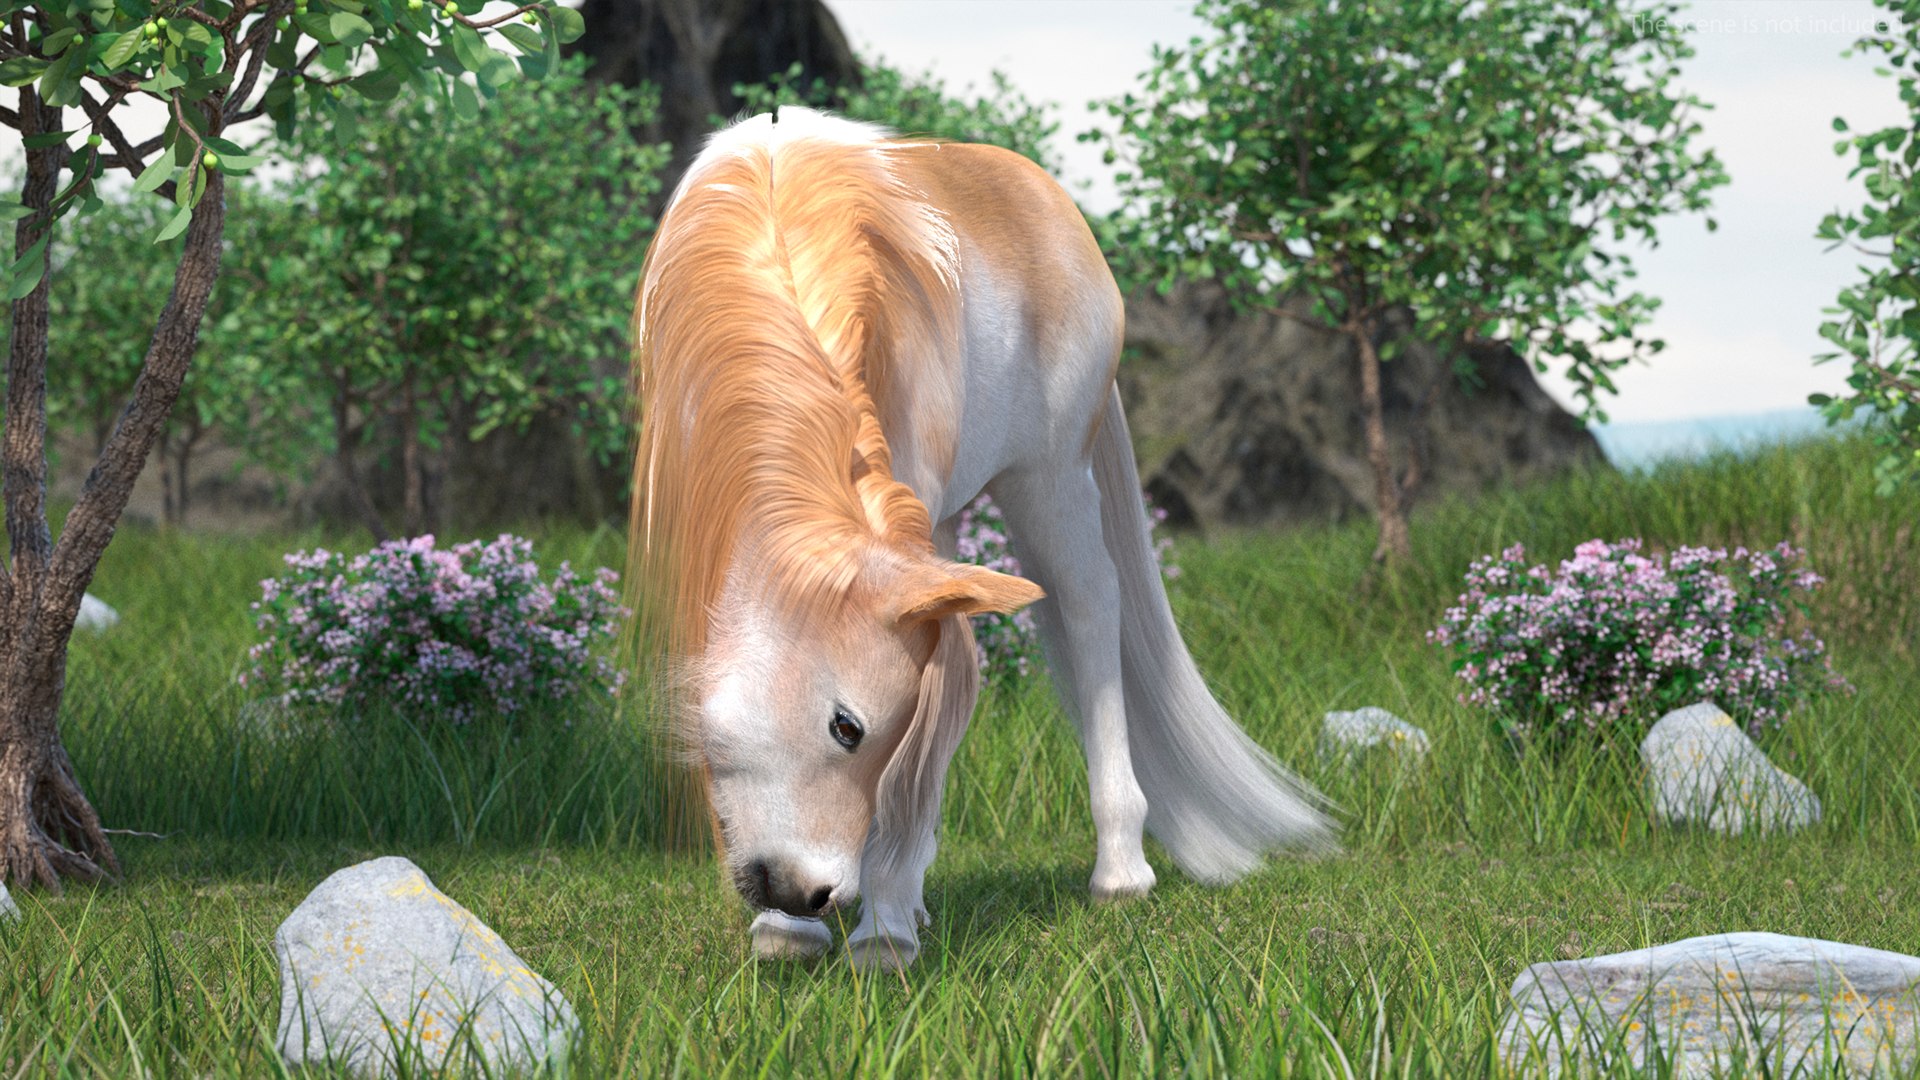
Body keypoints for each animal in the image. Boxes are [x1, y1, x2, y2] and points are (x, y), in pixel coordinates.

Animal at [630, 107, 1335, 971]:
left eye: (848, 727)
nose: (804, 896)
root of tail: (1049, 196)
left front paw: (884, 934)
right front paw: (791, 936)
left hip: (1049, 479)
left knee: (1090, 606)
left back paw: (1118, 874)